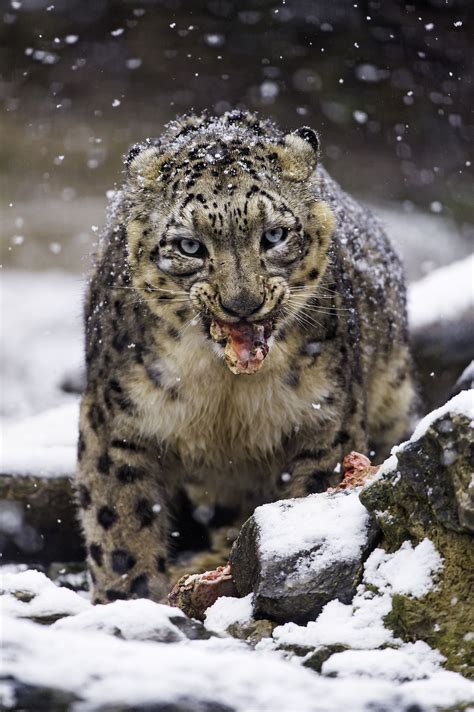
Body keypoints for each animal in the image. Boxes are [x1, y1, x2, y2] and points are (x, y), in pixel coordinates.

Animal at [76, 110, 417, 604]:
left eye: (273, 235)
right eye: (190, 246)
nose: (242, 304)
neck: (226, 387)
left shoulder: (324, 415)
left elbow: (315, 487)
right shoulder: (118, 423)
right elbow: (121, 524)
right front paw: (129, 599)